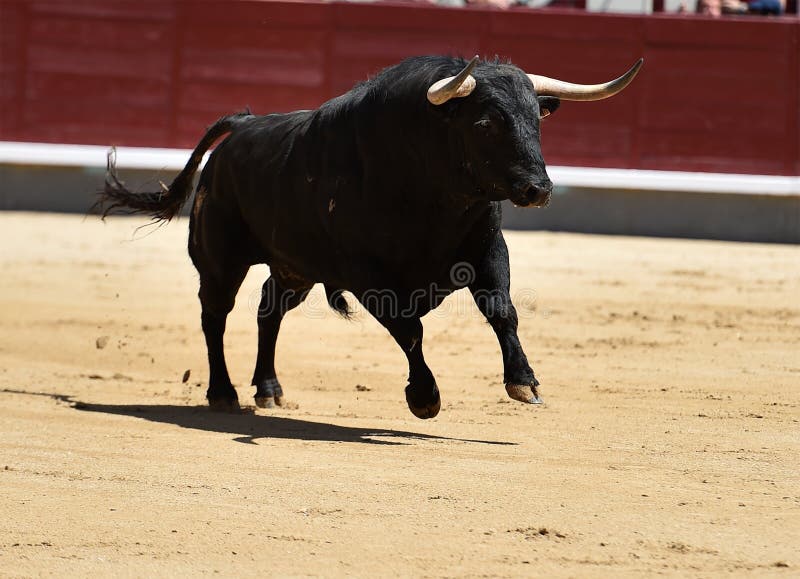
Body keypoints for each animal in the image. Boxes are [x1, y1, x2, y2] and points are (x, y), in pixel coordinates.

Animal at [98, 55, 642, 418]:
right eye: (486, 122)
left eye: (536, 120)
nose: (538, 188)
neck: (430, 189)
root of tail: (244, 125)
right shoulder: (365, 272)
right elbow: (408, 327)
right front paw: (424, 397)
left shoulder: (487, 250)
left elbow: (501, 311)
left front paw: (524, 383)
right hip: (220, 259)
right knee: (215, 317)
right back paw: (223, 394)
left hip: (294, 268)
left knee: (268, 311)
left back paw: (269, 389)